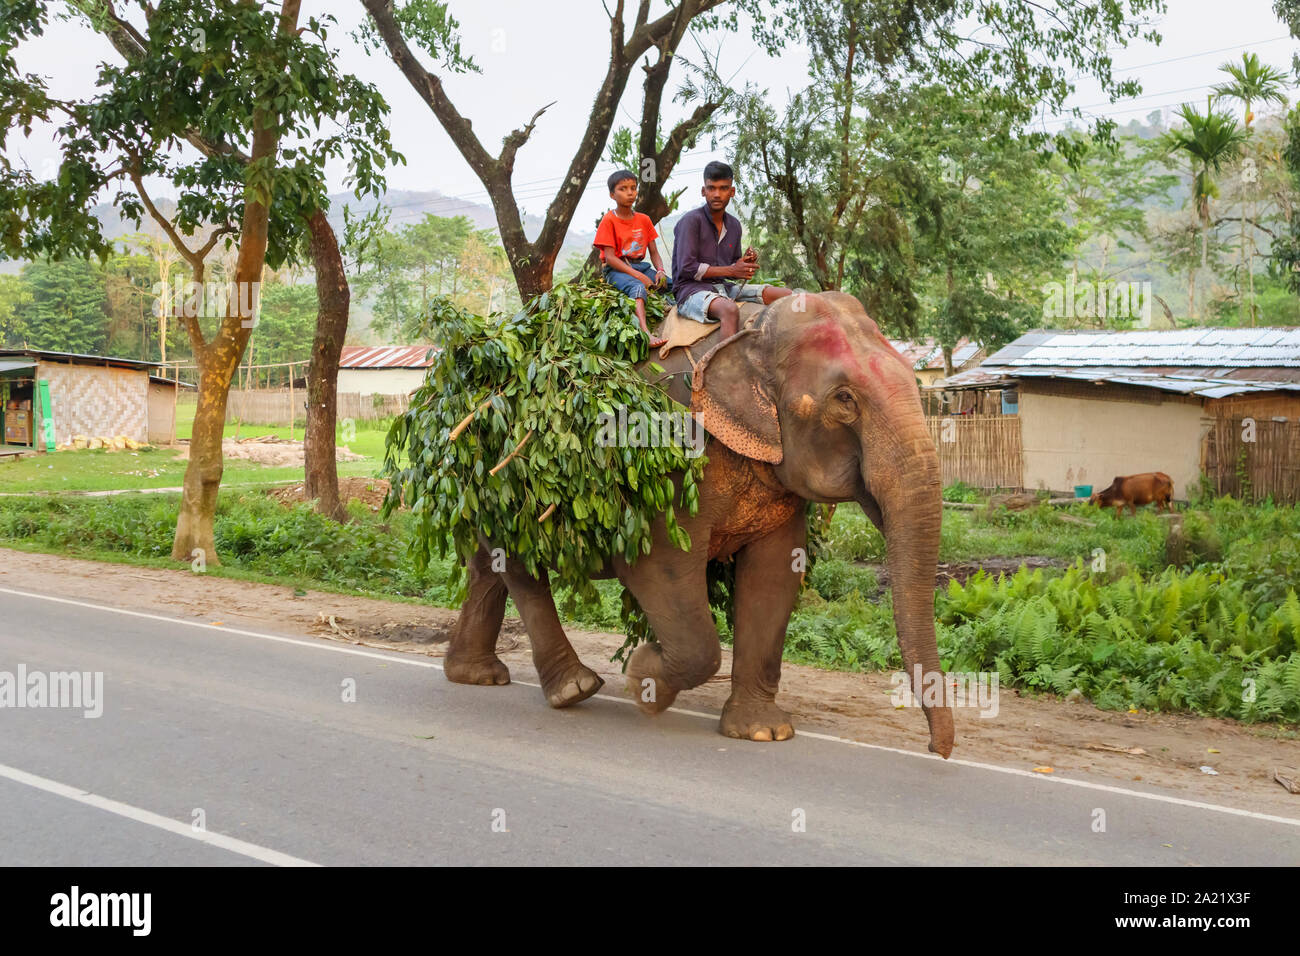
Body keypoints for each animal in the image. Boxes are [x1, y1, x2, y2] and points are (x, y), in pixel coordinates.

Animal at [442, 290, 954, 758]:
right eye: (845, 399)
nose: (938, 750)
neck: (753, 331)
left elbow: (774, 575)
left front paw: (762, 733)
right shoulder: (671, 452)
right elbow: (661, 567)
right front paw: (643, 681)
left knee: (488, 567)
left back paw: (475, 676)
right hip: (502, 474)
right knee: (520, 569)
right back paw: (574, 689)